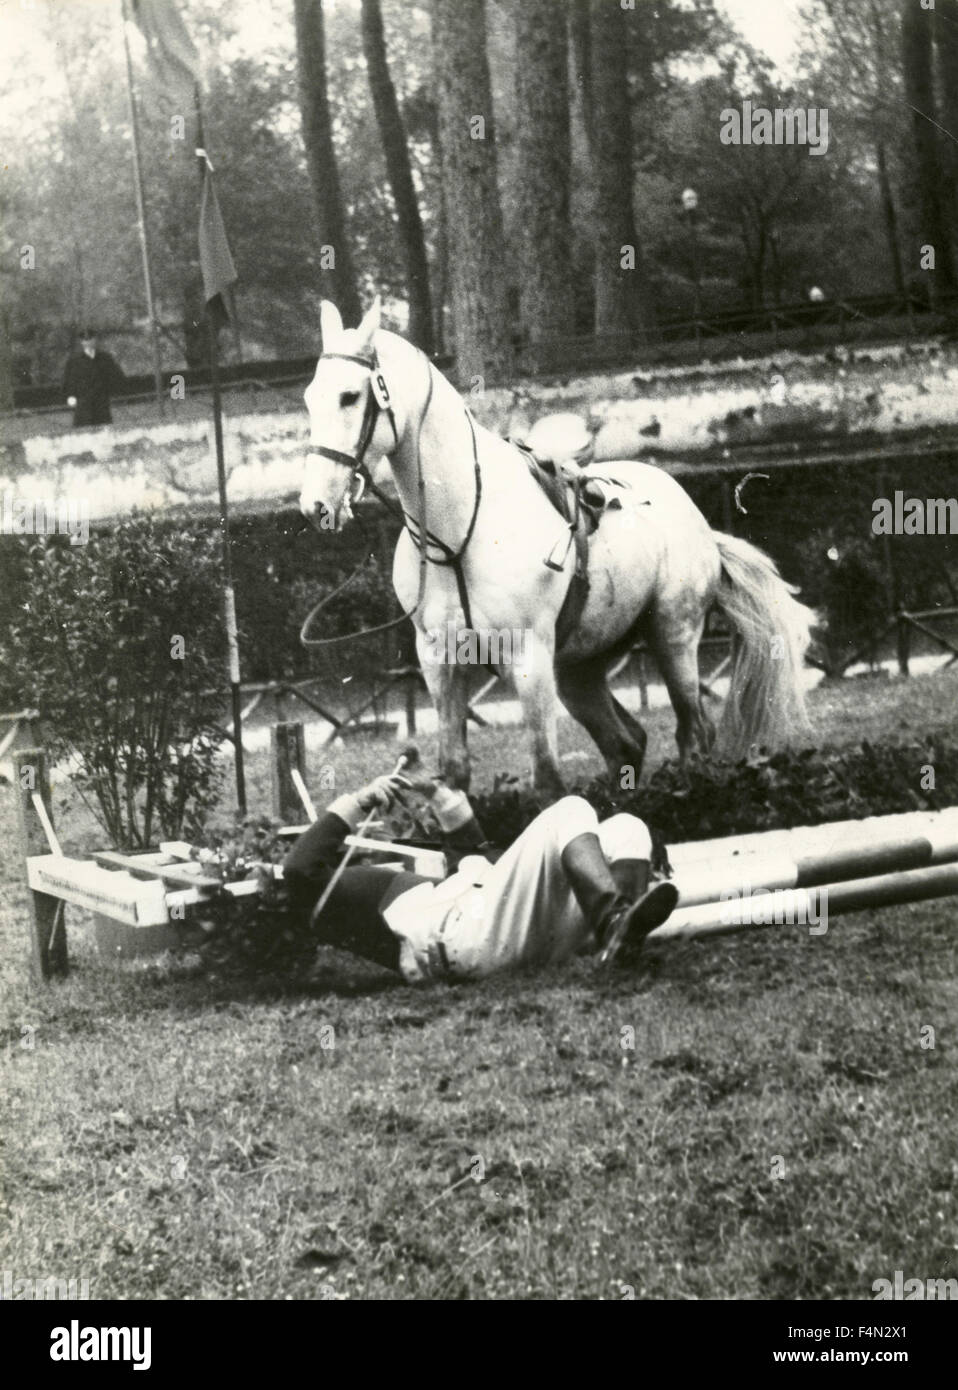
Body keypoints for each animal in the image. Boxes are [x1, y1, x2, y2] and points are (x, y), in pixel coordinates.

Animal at [300, 298, 813, 795]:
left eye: (350, 396)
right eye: (310, 398)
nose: (315, 504)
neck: (460, 535)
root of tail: (696, 518)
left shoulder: (529, 660)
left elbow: (547, 780)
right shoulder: (439, 663)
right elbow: (455, 771)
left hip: (674, 638)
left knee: (693, 733)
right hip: (579, 670)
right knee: (626, 742)